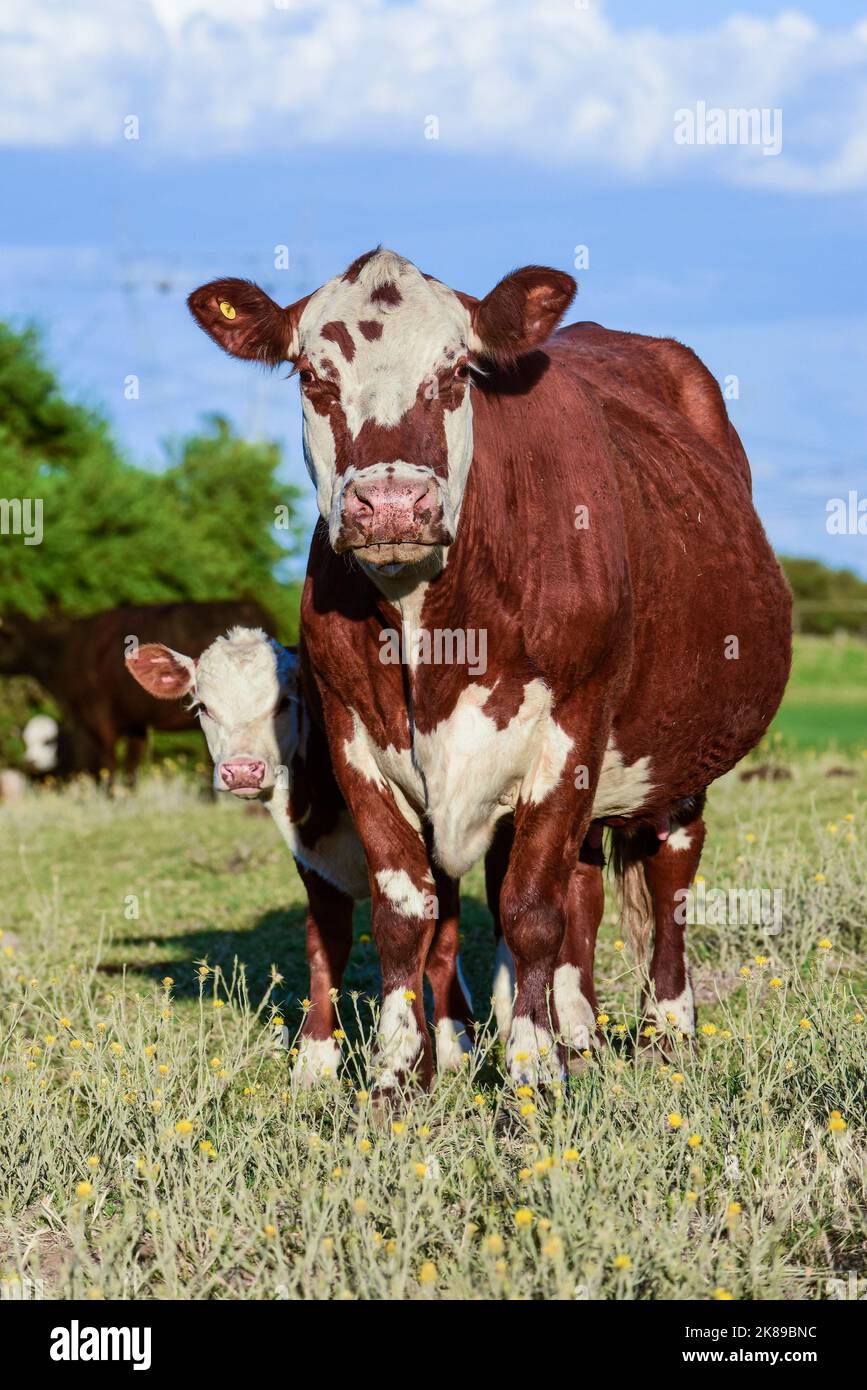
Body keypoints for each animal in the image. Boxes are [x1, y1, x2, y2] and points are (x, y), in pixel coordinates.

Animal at [125, 625, 474, 1082]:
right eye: (203, 707)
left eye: (284, 703)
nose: (242, 770)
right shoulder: (313, 864)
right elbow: (325, 948)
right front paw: (315, 1058)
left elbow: (441, 945)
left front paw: (456, 1044)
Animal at [188, 248, 792, 1091]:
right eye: (312, 375)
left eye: (455, 372)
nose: (392, 502)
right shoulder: (352, 735)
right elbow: (408, 911)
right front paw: (399, 1074)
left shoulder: (571, 728)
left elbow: (530, 909)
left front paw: (532, 1071)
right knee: (583, 887)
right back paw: (581, 1034)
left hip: (680, 753)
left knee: (667, 873)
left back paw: (666, 1030)